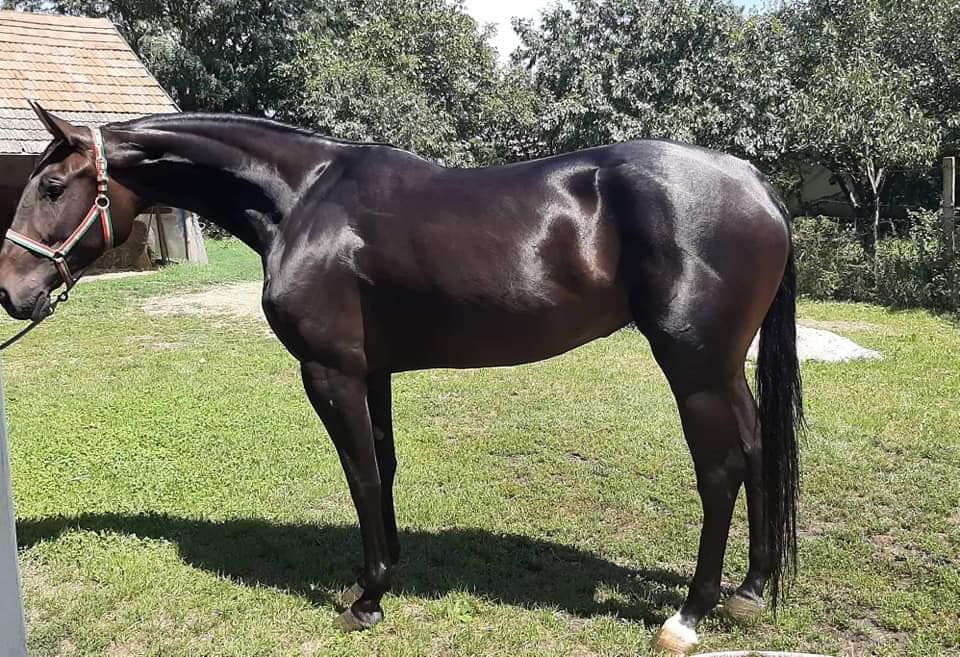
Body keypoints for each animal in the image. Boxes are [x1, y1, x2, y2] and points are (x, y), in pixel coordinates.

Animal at [0, 102, 802, 655]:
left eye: (52, 185)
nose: (11, 292)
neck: (304, 199)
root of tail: (756, 184)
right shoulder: (374, 370)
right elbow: (383, 467)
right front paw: (390, 571)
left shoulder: (331, 372)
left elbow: (358, 473)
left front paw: (367, 597)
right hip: (723, 367)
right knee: (759, 448)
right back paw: (750, 589)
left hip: (694, 365)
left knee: (721, 468)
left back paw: (689, 613)